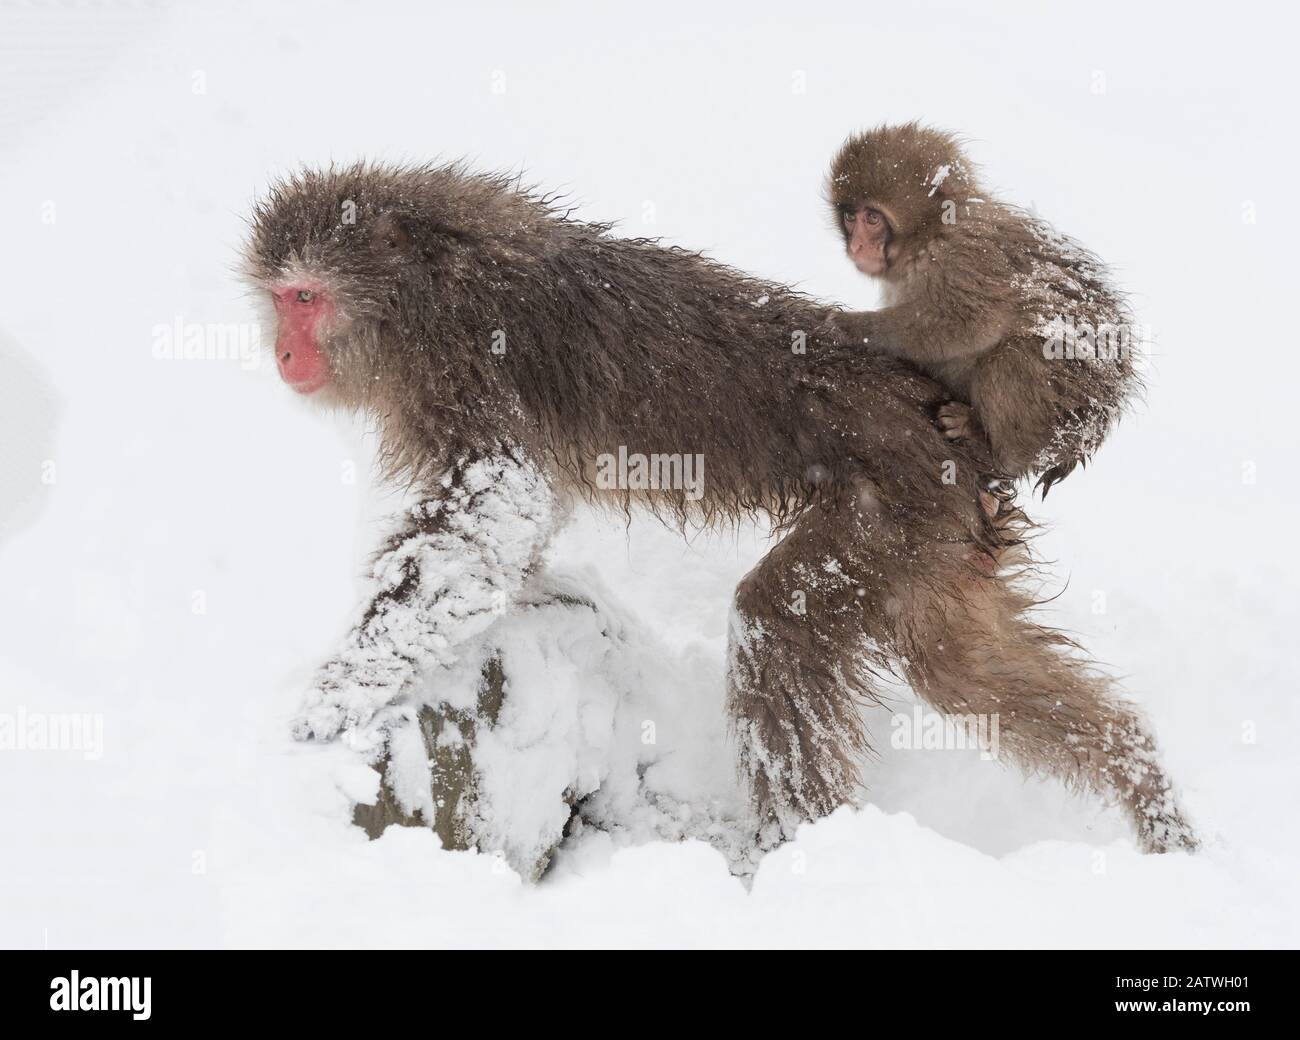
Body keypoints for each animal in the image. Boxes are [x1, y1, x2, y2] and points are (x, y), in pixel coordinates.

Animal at [244, 161, 1196, 854]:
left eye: (304, 298)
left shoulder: (466, 362)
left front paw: (334, 699)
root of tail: (958, 430)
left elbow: (492, 512)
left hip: (886, 512)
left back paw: (790, 852)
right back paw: (1142, 784)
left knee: (780, 627)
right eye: (277, 300)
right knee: (966, 673)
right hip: (935, 537)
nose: (283, 354)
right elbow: (522, 518)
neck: (425, 286)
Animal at [824, 122, 1142, 494]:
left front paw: (853, 327)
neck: (931, 235)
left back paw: (994, 450)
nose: (857, 246)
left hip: (1063, 412)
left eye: (873, 218)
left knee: (1015, 359)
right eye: (851, 216)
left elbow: (972, 323)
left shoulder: (963, 256)